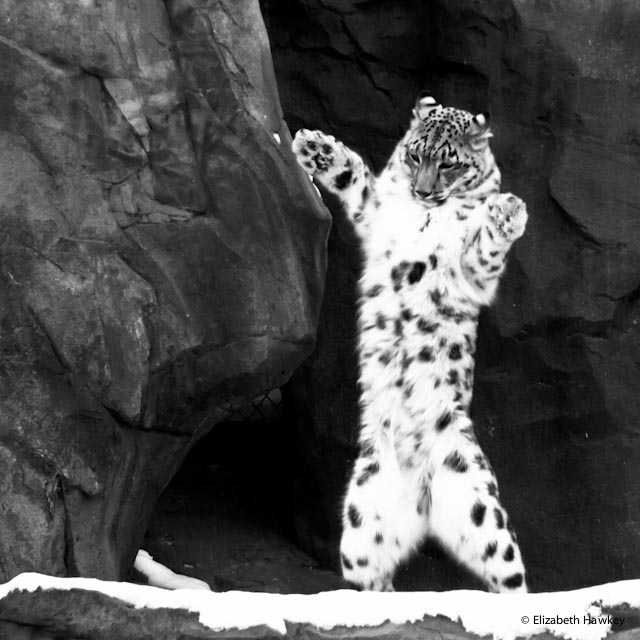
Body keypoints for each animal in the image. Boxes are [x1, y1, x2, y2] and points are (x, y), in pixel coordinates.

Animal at [292, 92, 529, 593]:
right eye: (416, 155)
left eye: (449, 163)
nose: (422, 192)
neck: (425, 213)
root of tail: (422, 497)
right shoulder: (378, 214)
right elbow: (358, 179)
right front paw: (317, 149)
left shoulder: (472, 269)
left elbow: (484, 245)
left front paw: (507, 211)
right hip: (361, 523)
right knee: (374, 577)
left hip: (482, 510)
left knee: (510, 576)